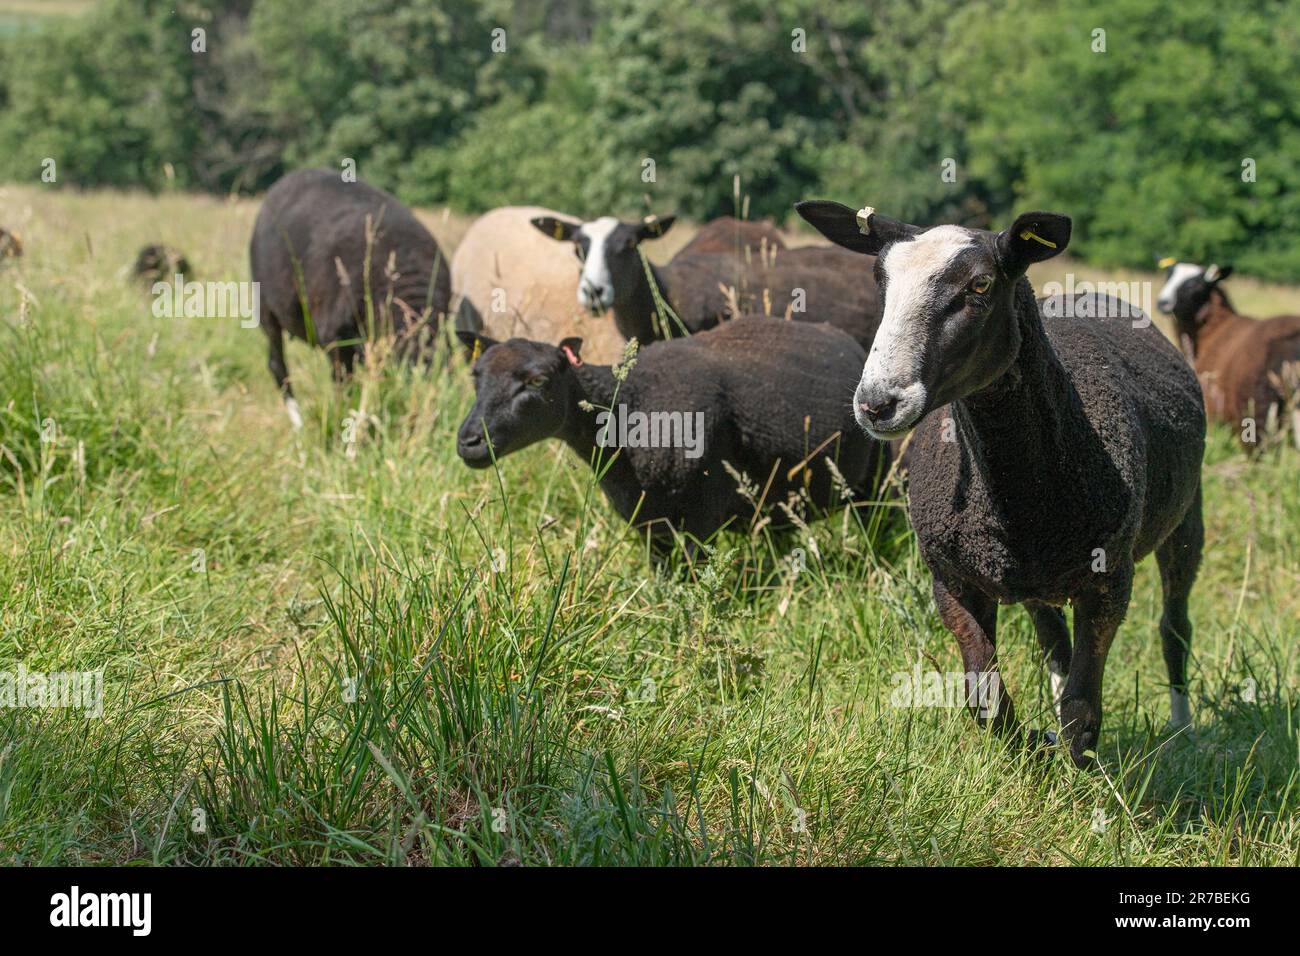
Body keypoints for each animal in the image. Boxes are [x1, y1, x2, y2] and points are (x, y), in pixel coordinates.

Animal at [249, 168, 451, 428]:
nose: (419, 417)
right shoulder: (334, 337)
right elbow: (343, 385)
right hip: (266, 307)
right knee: (277, 365)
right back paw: (298, 423)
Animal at [455, 316, 886, 561]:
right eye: (475, 375)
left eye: (537, 381)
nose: (469, 442)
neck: (628, 406)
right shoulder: (646, 519)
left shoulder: (702, 513)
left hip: (877, 477)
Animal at [798, 199, 1206, 768]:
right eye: (880, 279)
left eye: (980, 285)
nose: (877, 404)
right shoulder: (952, 580)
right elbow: (985, 698)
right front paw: (1033, 750)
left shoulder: (1109, 580)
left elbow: (1084, 709)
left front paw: (1079, 780)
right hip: (1036, 577)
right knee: (1053, 639)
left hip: (1186, 517)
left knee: (1175, 625)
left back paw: (1182, 728)